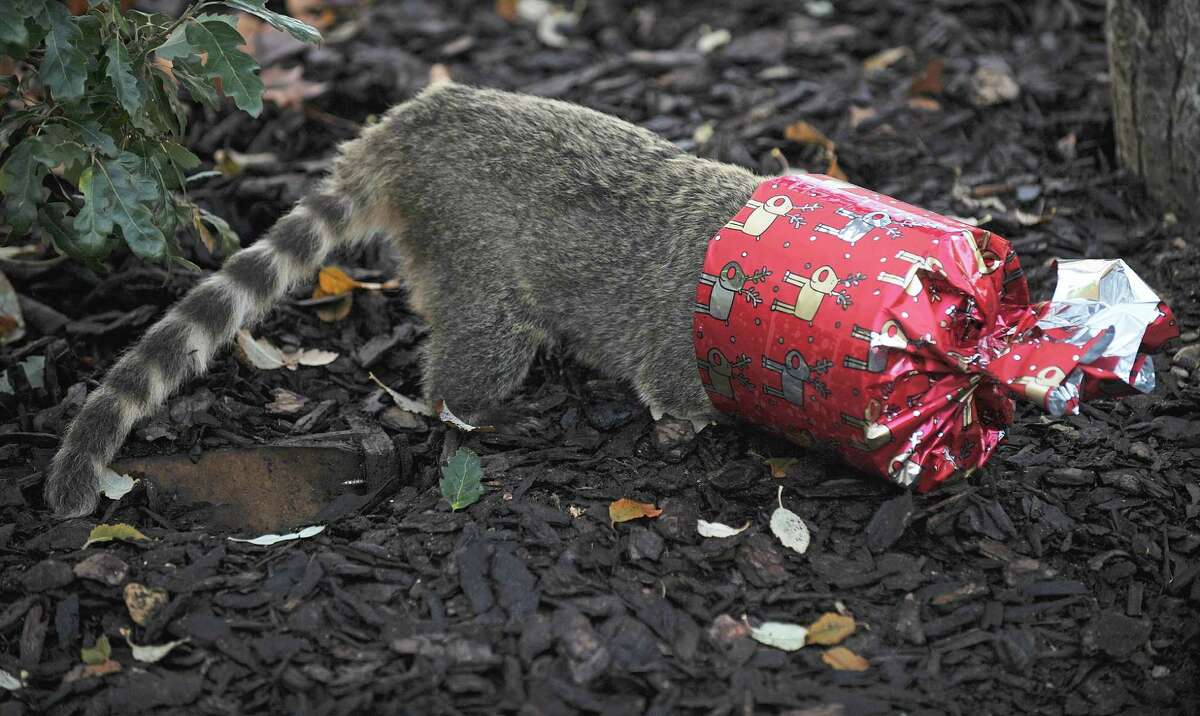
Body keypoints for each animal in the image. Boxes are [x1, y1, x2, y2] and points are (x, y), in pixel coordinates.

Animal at [43, 81, 765, 517]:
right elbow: (671, 388)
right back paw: (475, 410)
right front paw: (696, 425)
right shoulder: (679, 332)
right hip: (470, 240)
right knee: (485, 346)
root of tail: (401, 130)